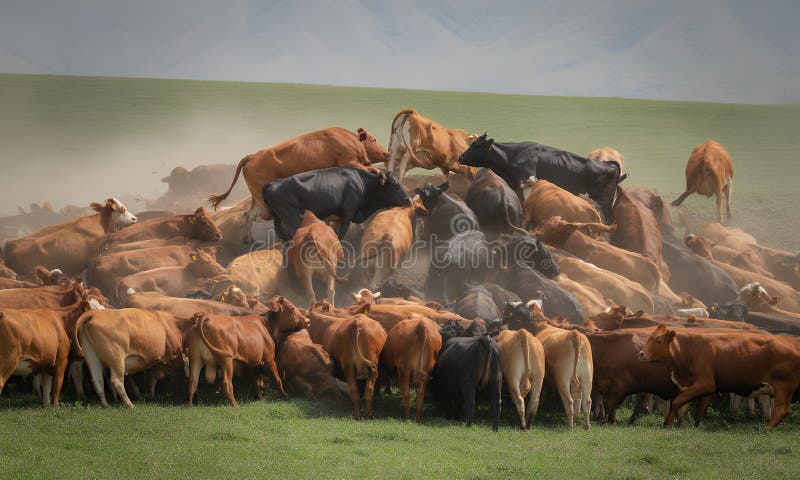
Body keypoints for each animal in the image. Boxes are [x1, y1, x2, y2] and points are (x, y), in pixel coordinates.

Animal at [208, 127, 389, 243]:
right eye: (373, 139)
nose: (387, 153)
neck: (349, 139)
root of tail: (252, 155)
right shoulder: (350, 162)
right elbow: (373, 170)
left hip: (256, 196)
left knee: (249, 214)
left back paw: (249, 239)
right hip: (262, 198)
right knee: (265, 216)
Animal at [263, 167, 410, 241]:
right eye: (394, 185)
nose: (408, 200)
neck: (362, 183)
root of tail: (272, 183)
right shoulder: (349, 210)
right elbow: (342, 232)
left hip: (278, 216)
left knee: (281, 233)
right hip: (291, 216)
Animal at [459, 133, 626, 218]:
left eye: (475, 146)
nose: (460, 158)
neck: (513, 155)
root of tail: (610, 164)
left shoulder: (529, 181)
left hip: (604, 202)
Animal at [638, 324, 800, 429]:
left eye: (658, 340)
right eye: (649, 338)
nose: (641, 354)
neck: (690, 349)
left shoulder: (705, 384)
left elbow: (677, 402)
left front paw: (667, 423)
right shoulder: (699, 389)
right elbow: (695, 409)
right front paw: (689, 426)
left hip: (784, 388)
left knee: (781, 410)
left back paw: (766, 428)